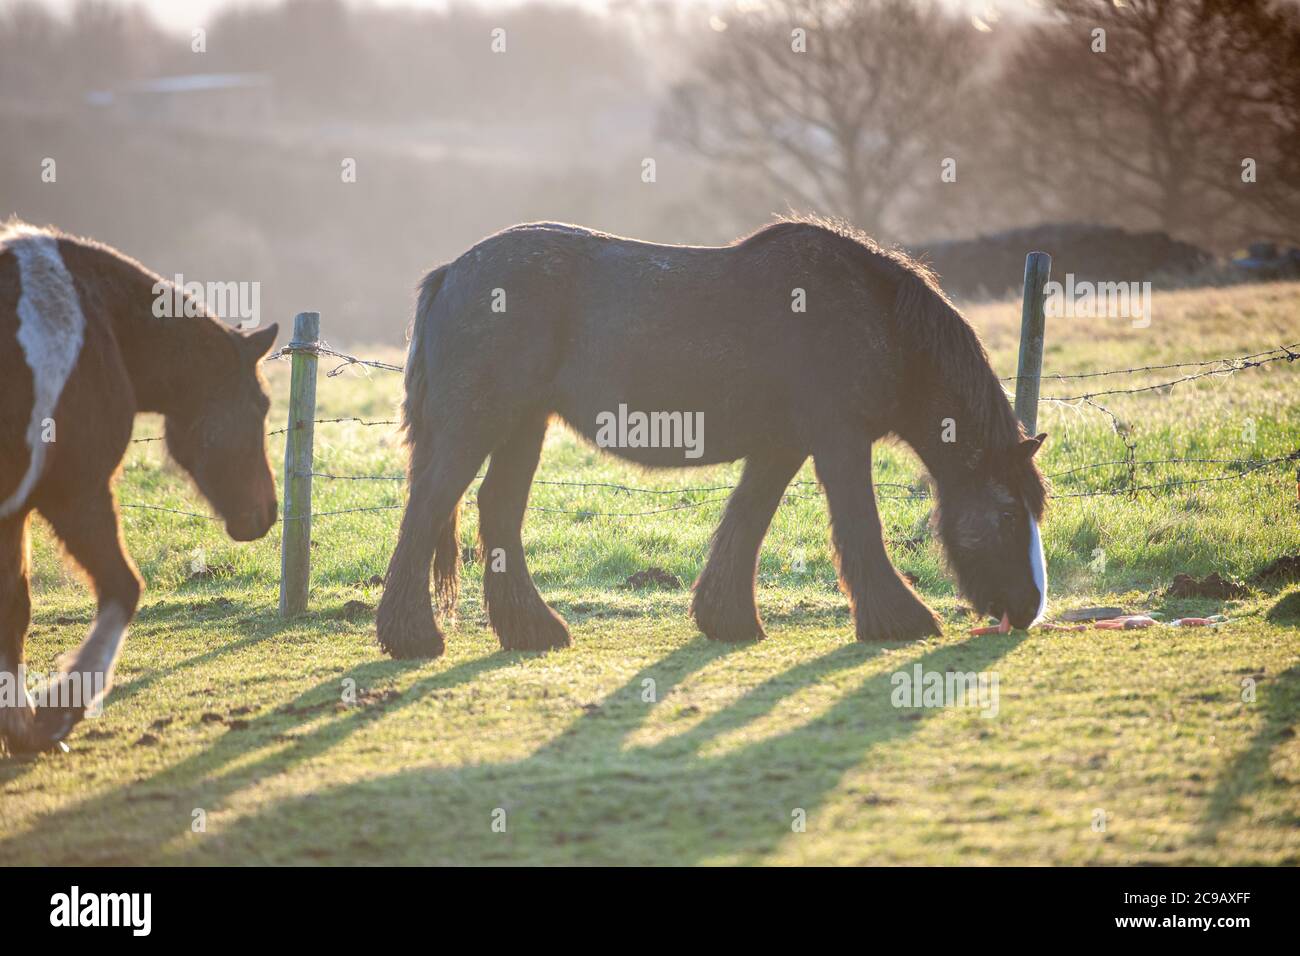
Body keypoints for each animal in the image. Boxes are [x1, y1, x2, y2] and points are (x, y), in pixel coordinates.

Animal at [0, 221, 278, 754]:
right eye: (262, 404)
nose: (267, 513)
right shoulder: (76, 494)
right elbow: (124, 588)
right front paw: (56, 712)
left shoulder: (14, 515)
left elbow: (15, 610)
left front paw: (23, 726)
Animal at [377, 218, 1048, 660]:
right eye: (1008, 514)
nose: (1027, 610)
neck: (870, 313)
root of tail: (451, 274)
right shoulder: (838, 438)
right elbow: (859, 524)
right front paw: (898, 618)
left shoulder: (782, 445)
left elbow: (748, 519)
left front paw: (726, 618)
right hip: (478, 423)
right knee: (429, 505)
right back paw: (413, 637)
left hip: (523, 425)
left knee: (497, 510)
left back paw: (531, 631)